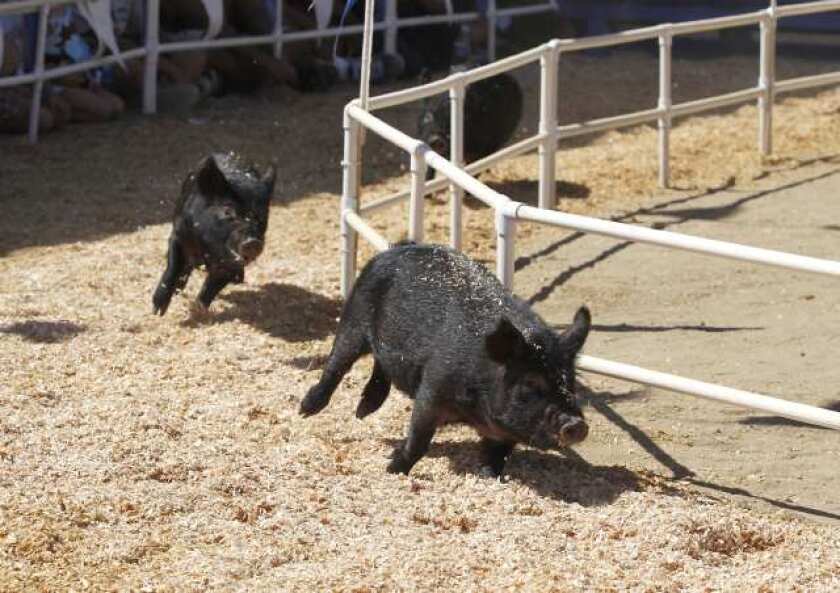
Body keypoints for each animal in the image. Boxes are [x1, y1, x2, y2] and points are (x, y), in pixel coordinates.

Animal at [152, 152, 276, 316]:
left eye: (261, 217)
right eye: (228, 212)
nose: (253, 242)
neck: (210, 249)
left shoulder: (229, 266)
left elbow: (211, 287)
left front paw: (198, 310)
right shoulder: (179, 234)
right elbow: (173, 267)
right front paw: (157, 311)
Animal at [299, 242, 591, 477]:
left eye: (569, 383)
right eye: (530, 383)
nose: (576, 424)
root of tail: (397, 248)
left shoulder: (502, 431)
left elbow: (499, 456)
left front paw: (488, 476)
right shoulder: (432, 392)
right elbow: (418, 440)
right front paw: (392, 469)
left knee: (381, 366)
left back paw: (362, 411)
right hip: (354, 318)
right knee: (336, 365)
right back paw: (306, 409)